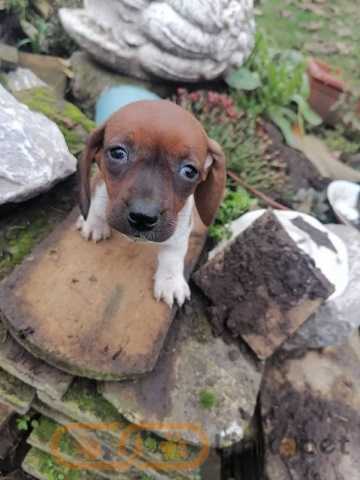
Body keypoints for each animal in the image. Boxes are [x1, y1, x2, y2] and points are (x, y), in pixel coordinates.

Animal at [77, 99, 226, 306]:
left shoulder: (180, 229)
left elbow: (173, 255)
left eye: (189, 171)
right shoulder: (100, 186)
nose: (143, 217)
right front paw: (94, 224)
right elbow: (96, 206)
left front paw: (170, 281)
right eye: (118, 153)